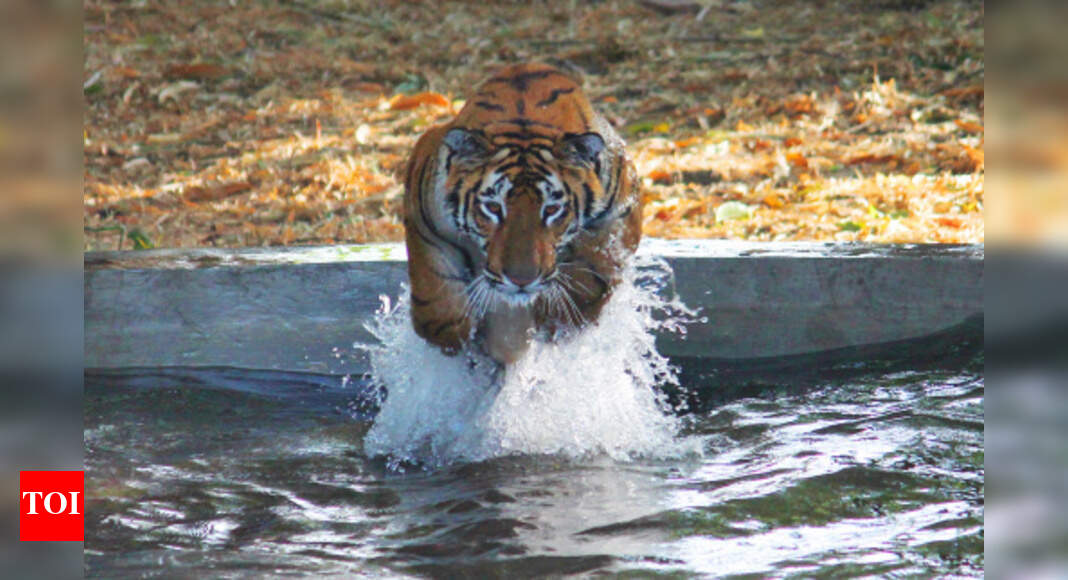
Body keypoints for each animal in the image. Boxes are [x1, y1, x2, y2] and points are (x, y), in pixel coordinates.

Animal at [402, 63, 642, 366]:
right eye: (493, 208)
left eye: (552, 210)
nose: (521, 281)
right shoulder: (426, 220)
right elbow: (437, 300)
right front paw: (464, 339)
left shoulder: (621, 211)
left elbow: (593, 271)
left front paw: (552, 320)